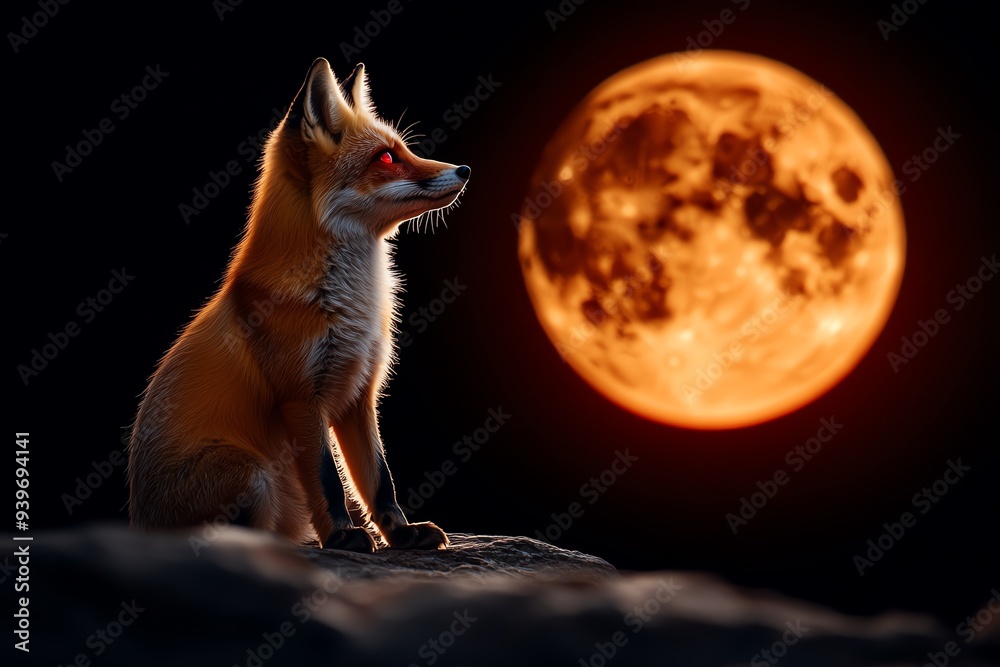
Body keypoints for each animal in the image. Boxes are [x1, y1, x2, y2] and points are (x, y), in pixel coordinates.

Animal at [127, 58, 470, 552]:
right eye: (386, 158)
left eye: (403, 149)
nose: (464, 169)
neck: (348, 305)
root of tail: (135, 524)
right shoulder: (301, 397)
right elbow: (327, 480)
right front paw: (342, 535)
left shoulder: (359, 394)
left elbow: (378, 479)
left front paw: (400, 534)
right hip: (253, 474)